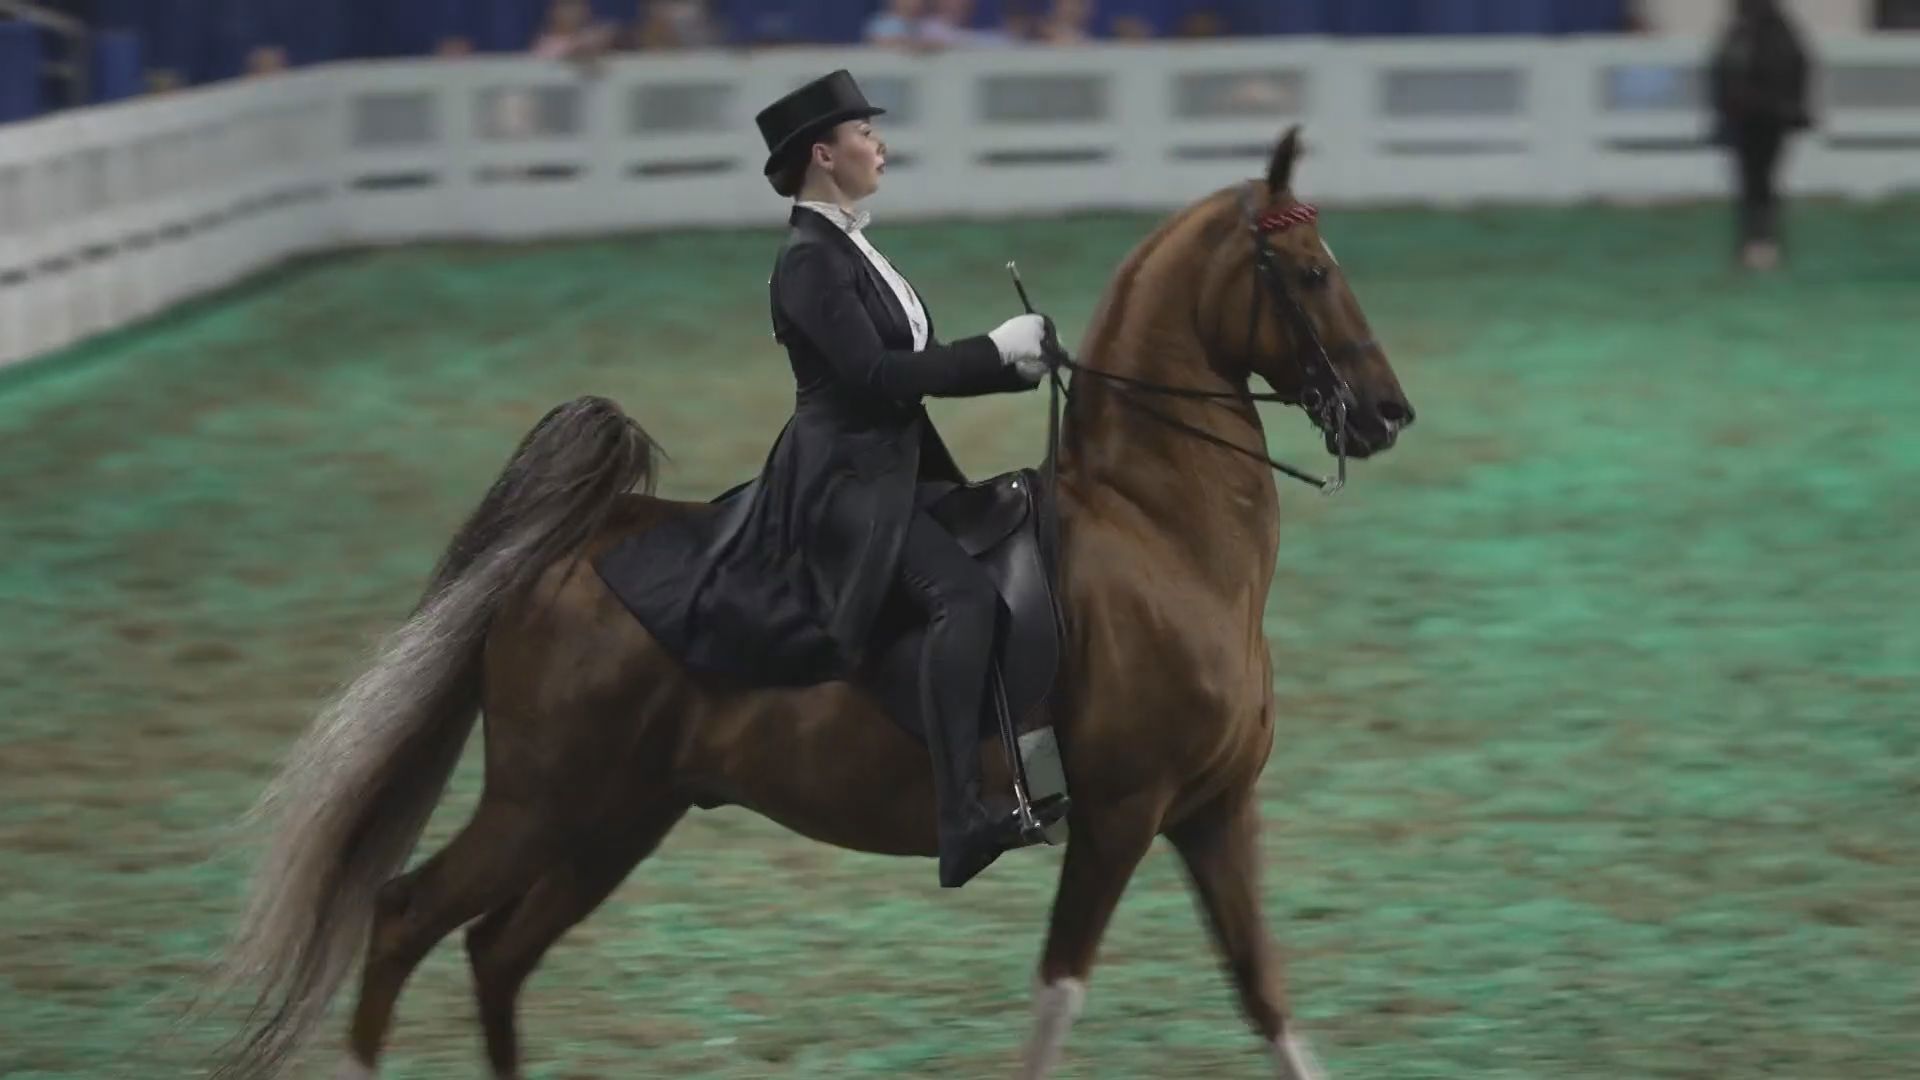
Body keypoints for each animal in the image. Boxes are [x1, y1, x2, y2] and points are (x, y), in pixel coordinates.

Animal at [207, 125, 1414, 1080]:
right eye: (1310, 272)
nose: (1386, 414)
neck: (1162, 534)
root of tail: (566, 550)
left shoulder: (1214, 809)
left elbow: (1263, 991)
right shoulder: (1122, 814)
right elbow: (1059, 996)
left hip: (618, 817)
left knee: (496, 953)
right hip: (541, 805)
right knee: (405, 916)